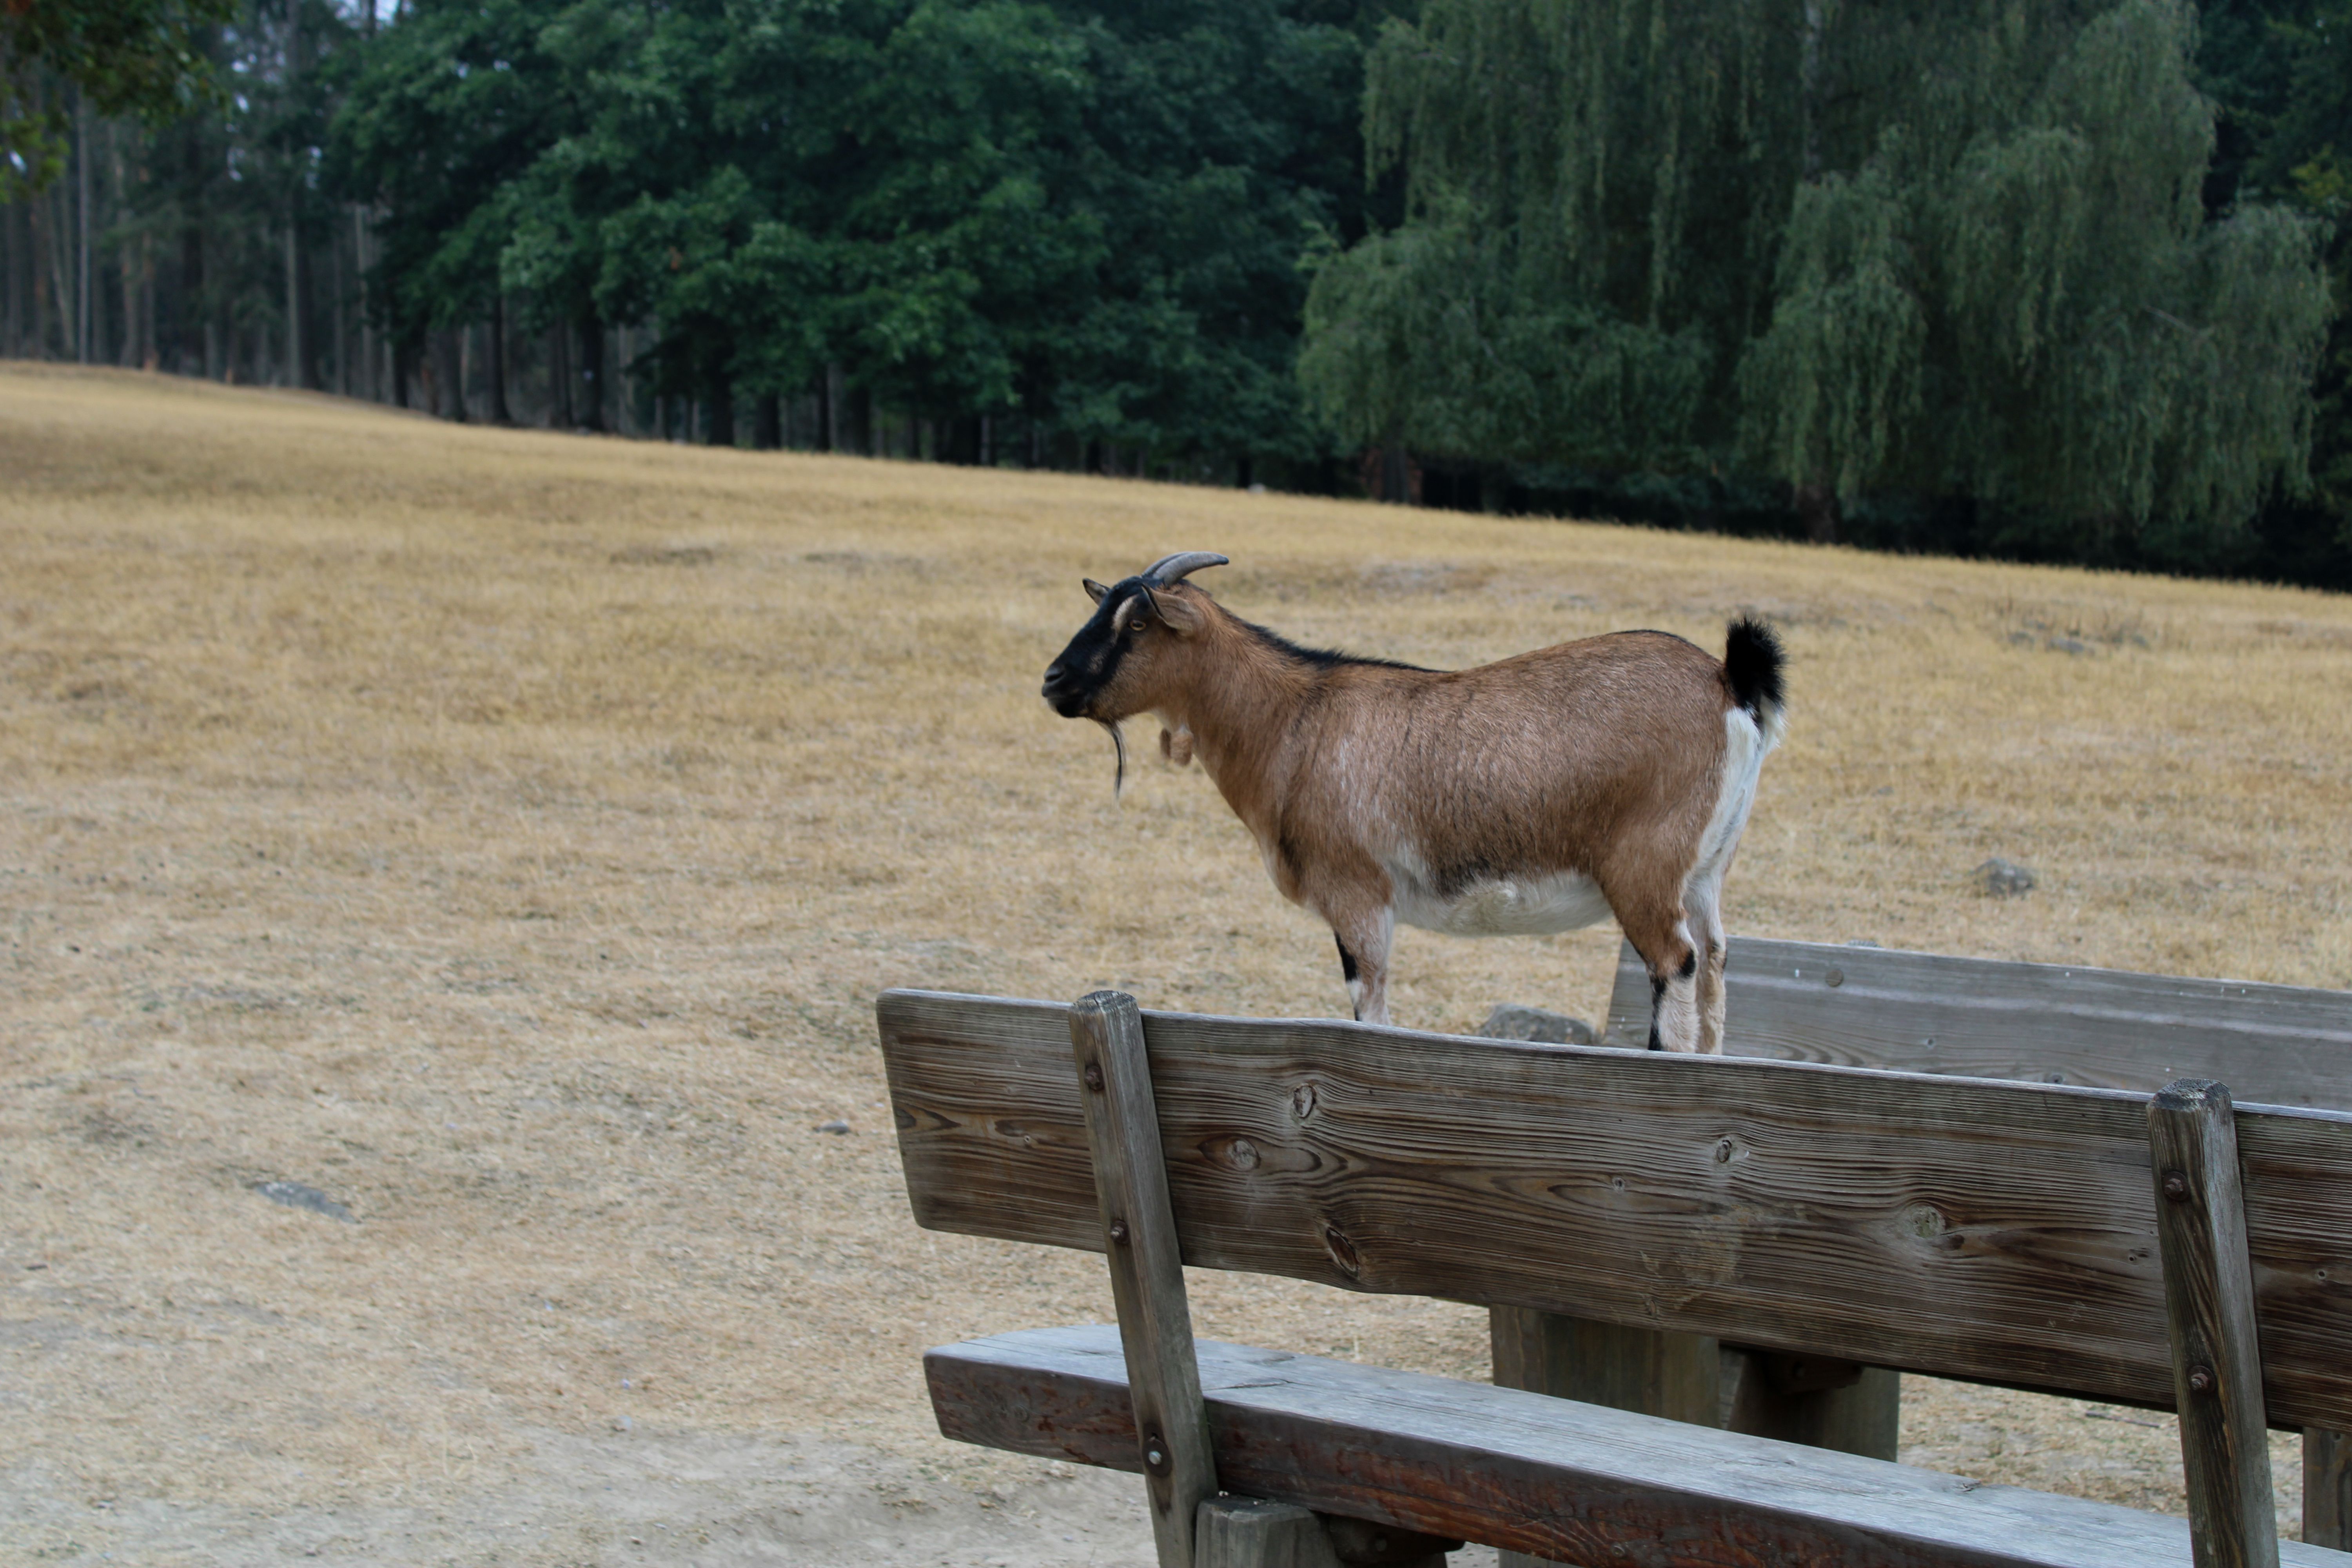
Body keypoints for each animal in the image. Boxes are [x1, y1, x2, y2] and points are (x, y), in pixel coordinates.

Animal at [1039, 552, 1786, 1052]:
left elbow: (1370, 1007)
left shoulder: (1358, 894)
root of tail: (1730, 679)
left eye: (1138, 625)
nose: (1054, 681)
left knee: (1676, 963)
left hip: (1644, 870)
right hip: (1707, 872)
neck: (1293, 722)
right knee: (1715, 964)